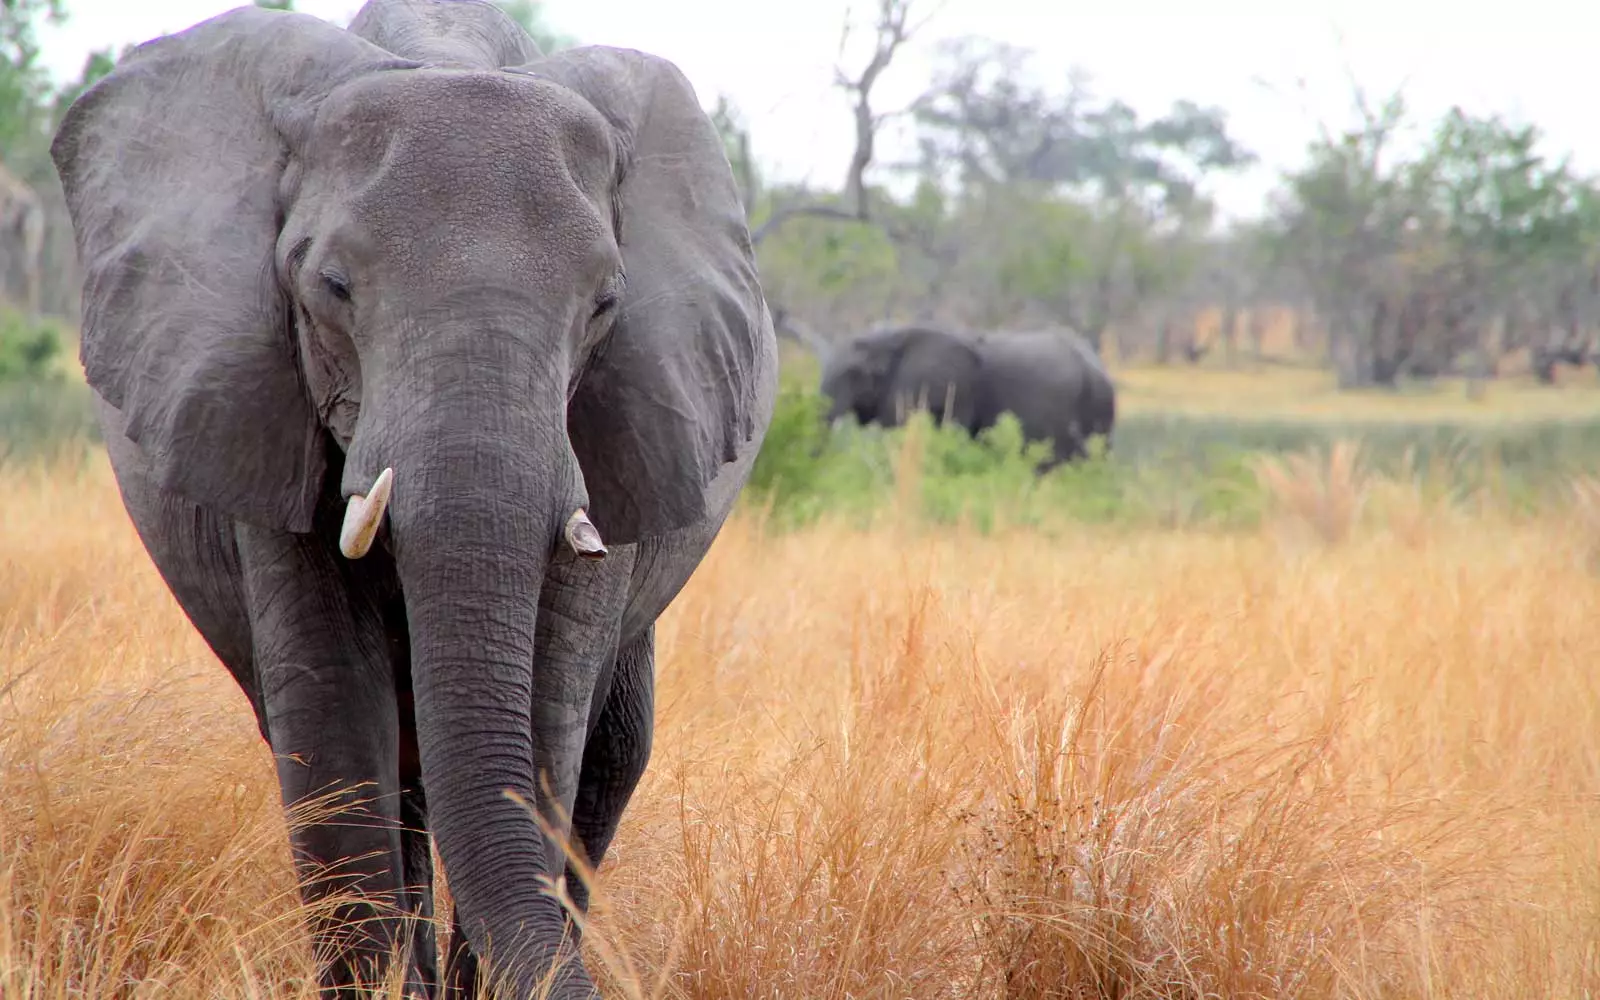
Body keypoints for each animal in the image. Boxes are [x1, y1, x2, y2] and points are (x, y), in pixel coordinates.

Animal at [48, 3, 774, 992]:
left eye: (604, 305)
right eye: (332, 287)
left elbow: (544, 723)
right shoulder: (260, 409)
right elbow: (335, 724)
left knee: (608, 758)